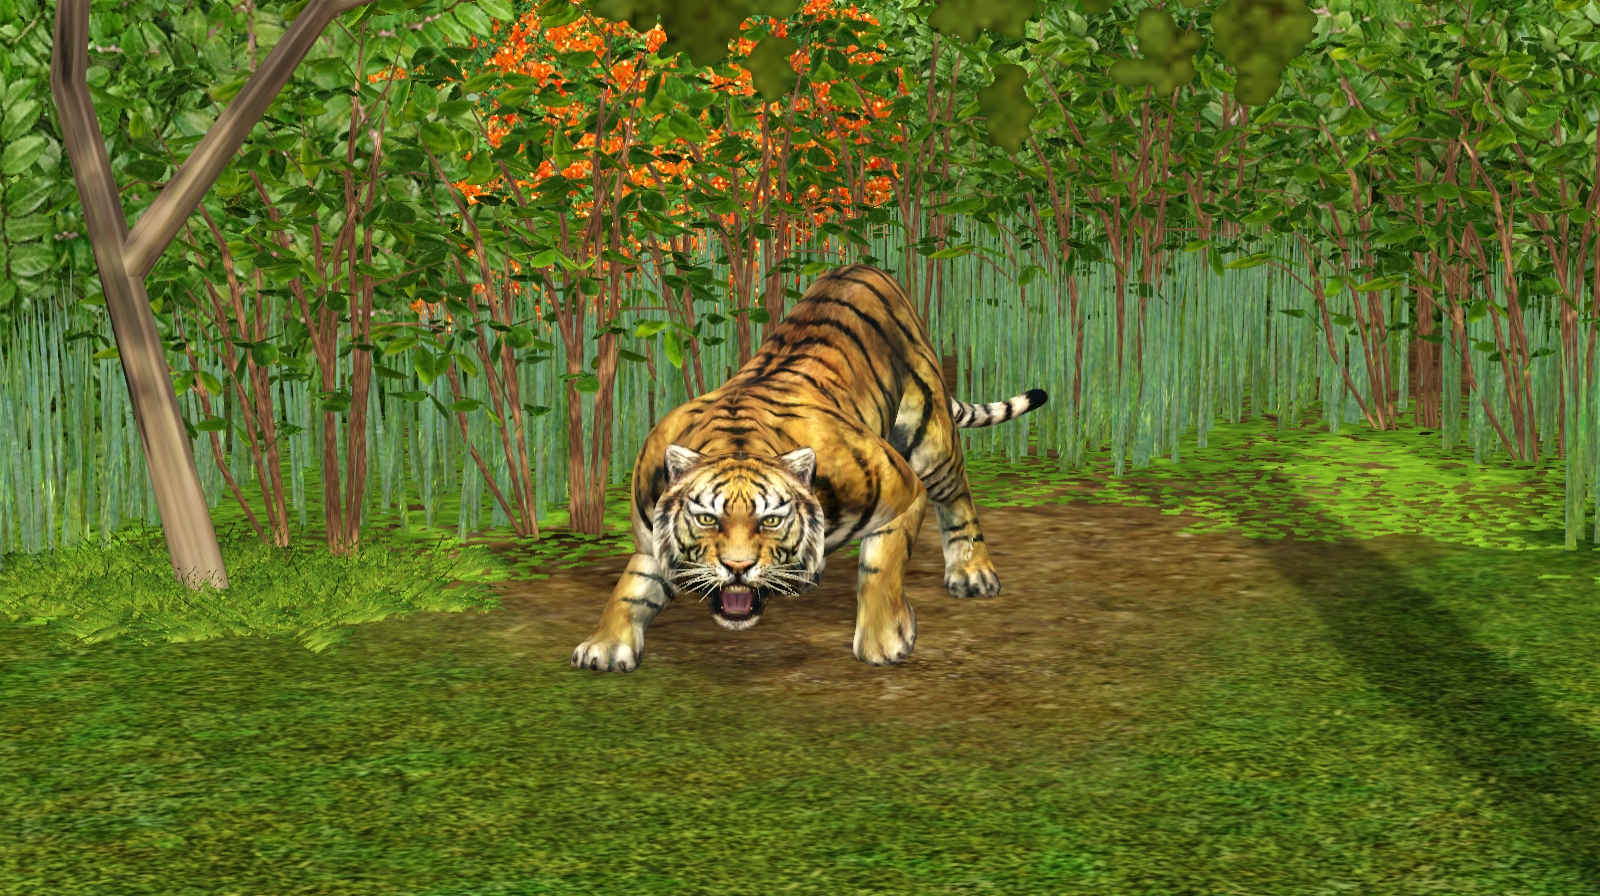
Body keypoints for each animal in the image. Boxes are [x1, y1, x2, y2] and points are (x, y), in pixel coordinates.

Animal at [571, 264, 1047, 673]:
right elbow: (631, 589)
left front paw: (884, 642)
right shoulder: (652, 538)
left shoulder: (903, 488)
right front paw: (604, 646)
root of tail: (863, 267)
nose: (738, 568)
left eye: (771, 520)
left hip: (930, 440)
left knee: (958, 496)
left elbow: (880, 569)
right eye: (706, 519)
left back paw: (972, 573)